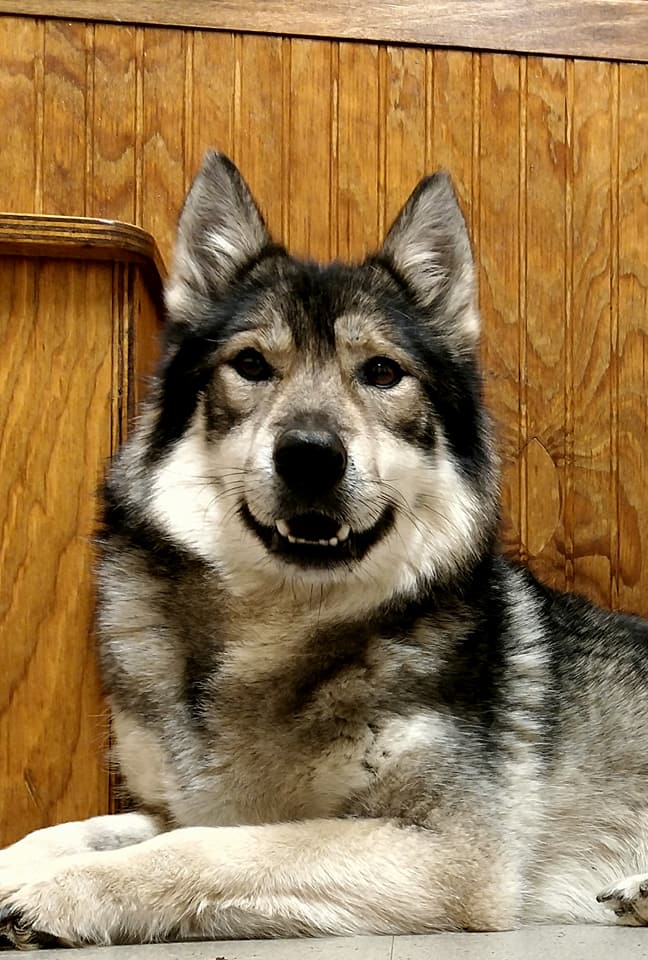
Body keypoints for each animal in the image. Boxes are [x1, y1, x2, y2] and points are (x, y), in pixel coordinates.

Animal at [1, 151, 648, 949]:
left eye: (381, 372)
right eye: (251, 365)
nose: (309, 455)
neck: (284, 628)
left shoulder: (447, 854)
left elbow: (205, 848)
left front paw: (61, 895)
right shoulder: (169, 805)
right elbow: (80, 829)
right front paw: (28, 864)